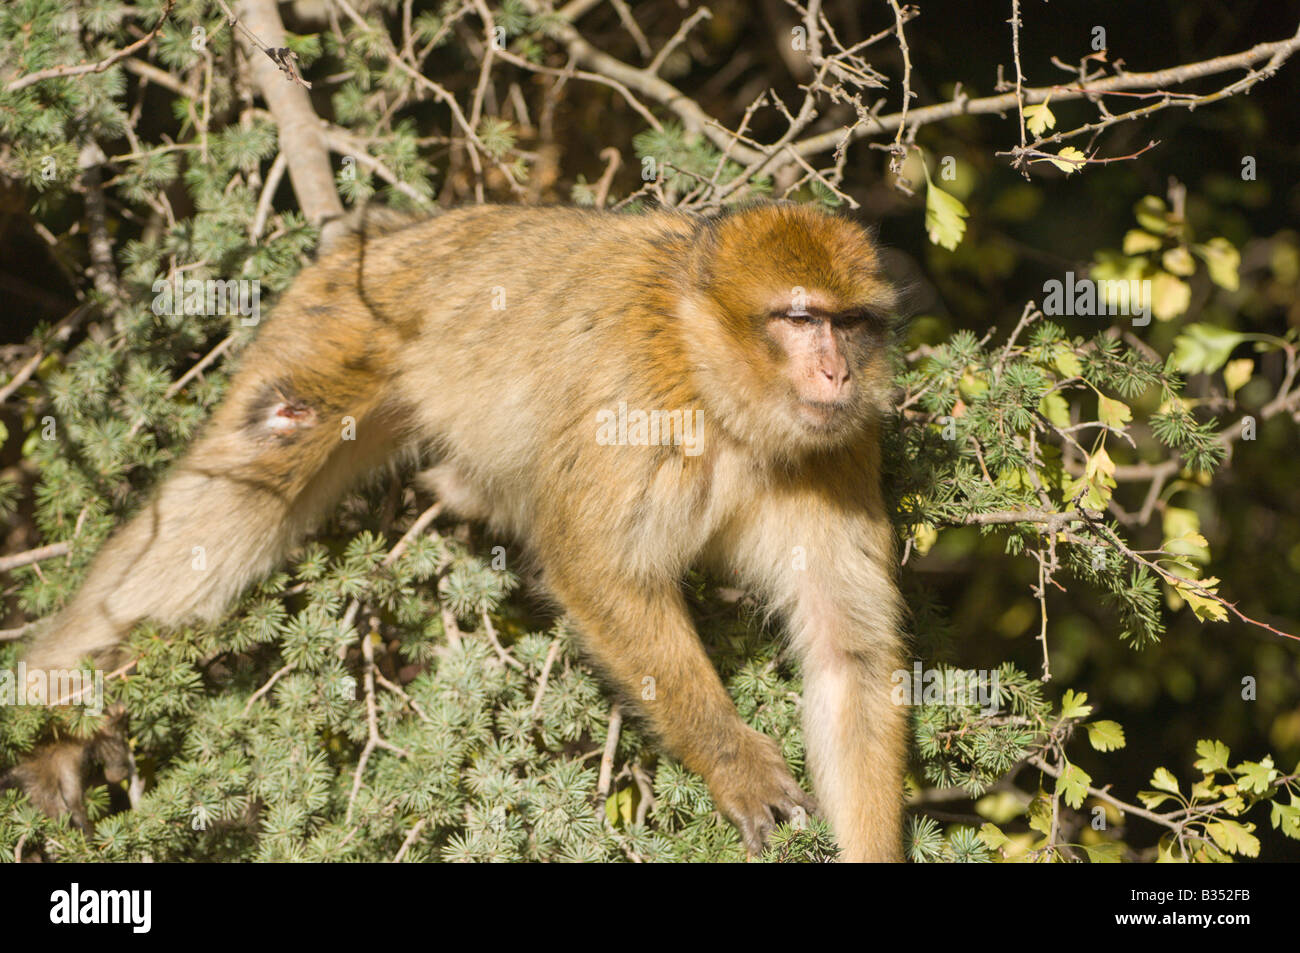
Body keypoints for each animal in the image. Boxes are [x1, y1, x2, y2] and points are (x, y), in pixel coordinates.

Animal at [10, 202, 905, 862]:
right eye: (800, 318)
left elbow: (847, 653)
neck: (724, 398)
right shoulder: (636, 397)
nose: (837, 371)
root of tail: (392, 236)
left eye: (852, 322)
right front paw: (733, 761)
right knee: (244, 486)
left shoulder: (840, 450)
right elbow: (596, 569)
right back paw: (52, 706)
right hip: (336, 324)